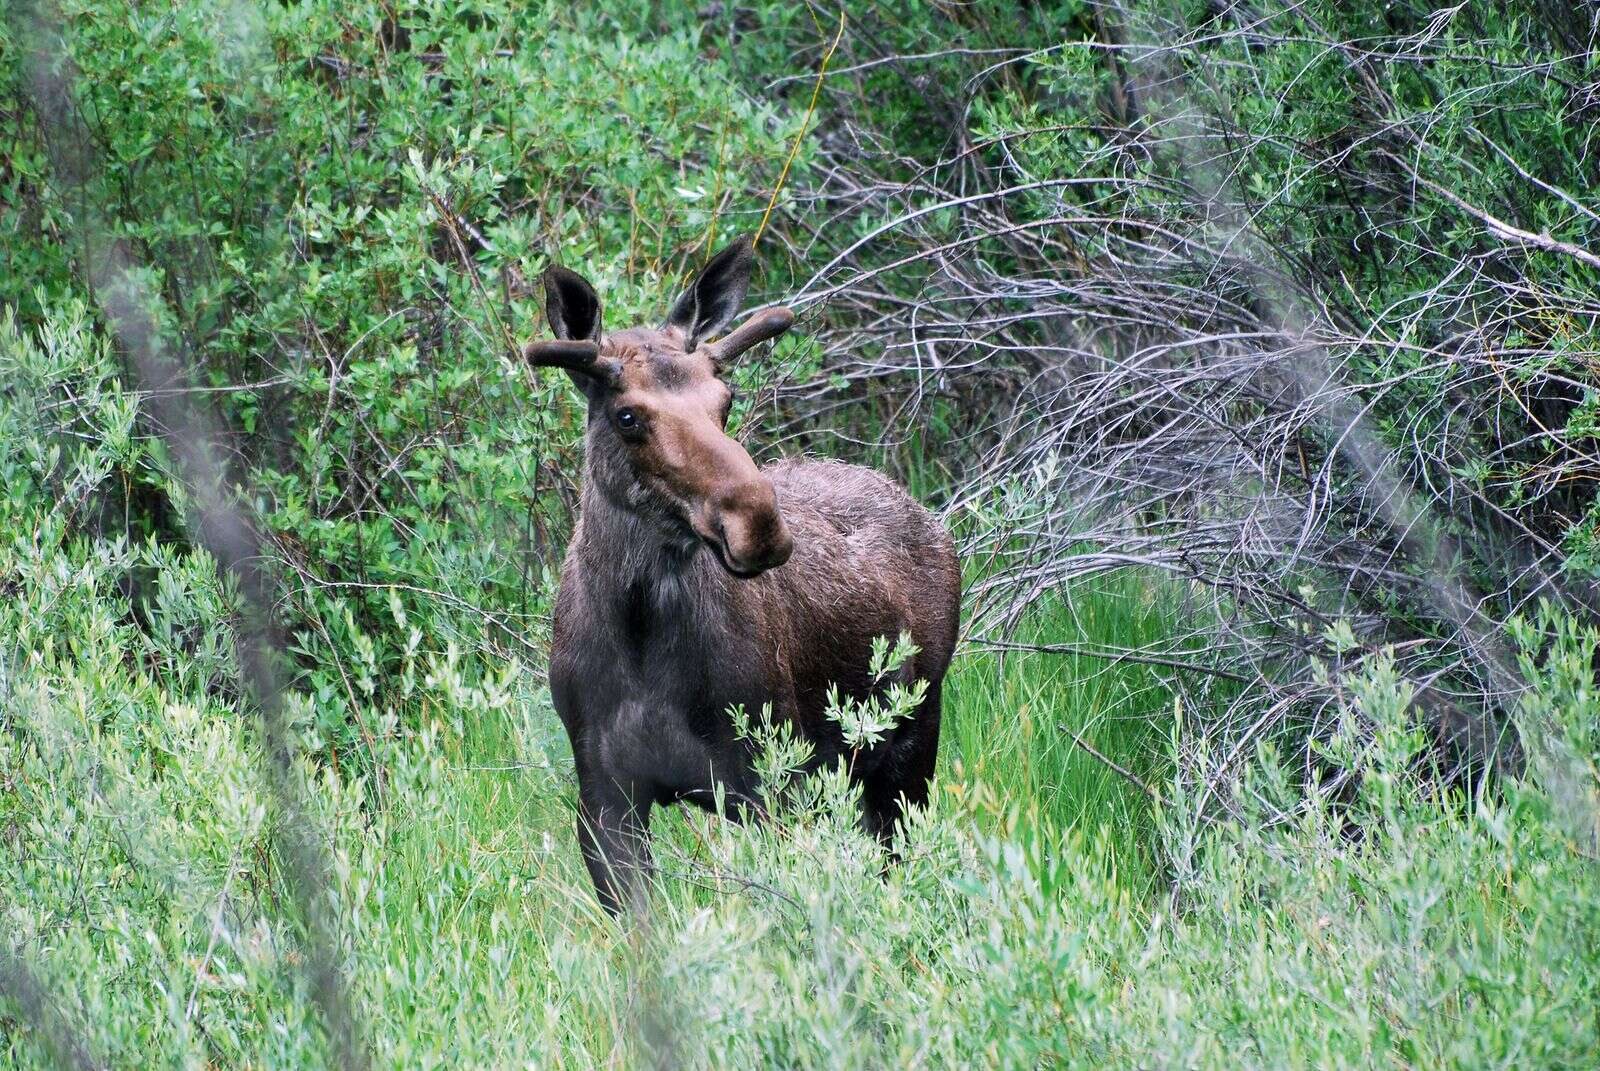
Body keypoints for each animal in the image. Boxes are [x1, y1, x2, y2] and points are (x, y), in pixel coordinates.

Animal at [521, 236, 960, 913]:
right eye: (627, 416)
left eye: (725, 401)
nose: (759, 523)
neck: (642, 636)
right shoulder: (603, 797)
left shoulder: (771, 780)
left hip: (911, 740)